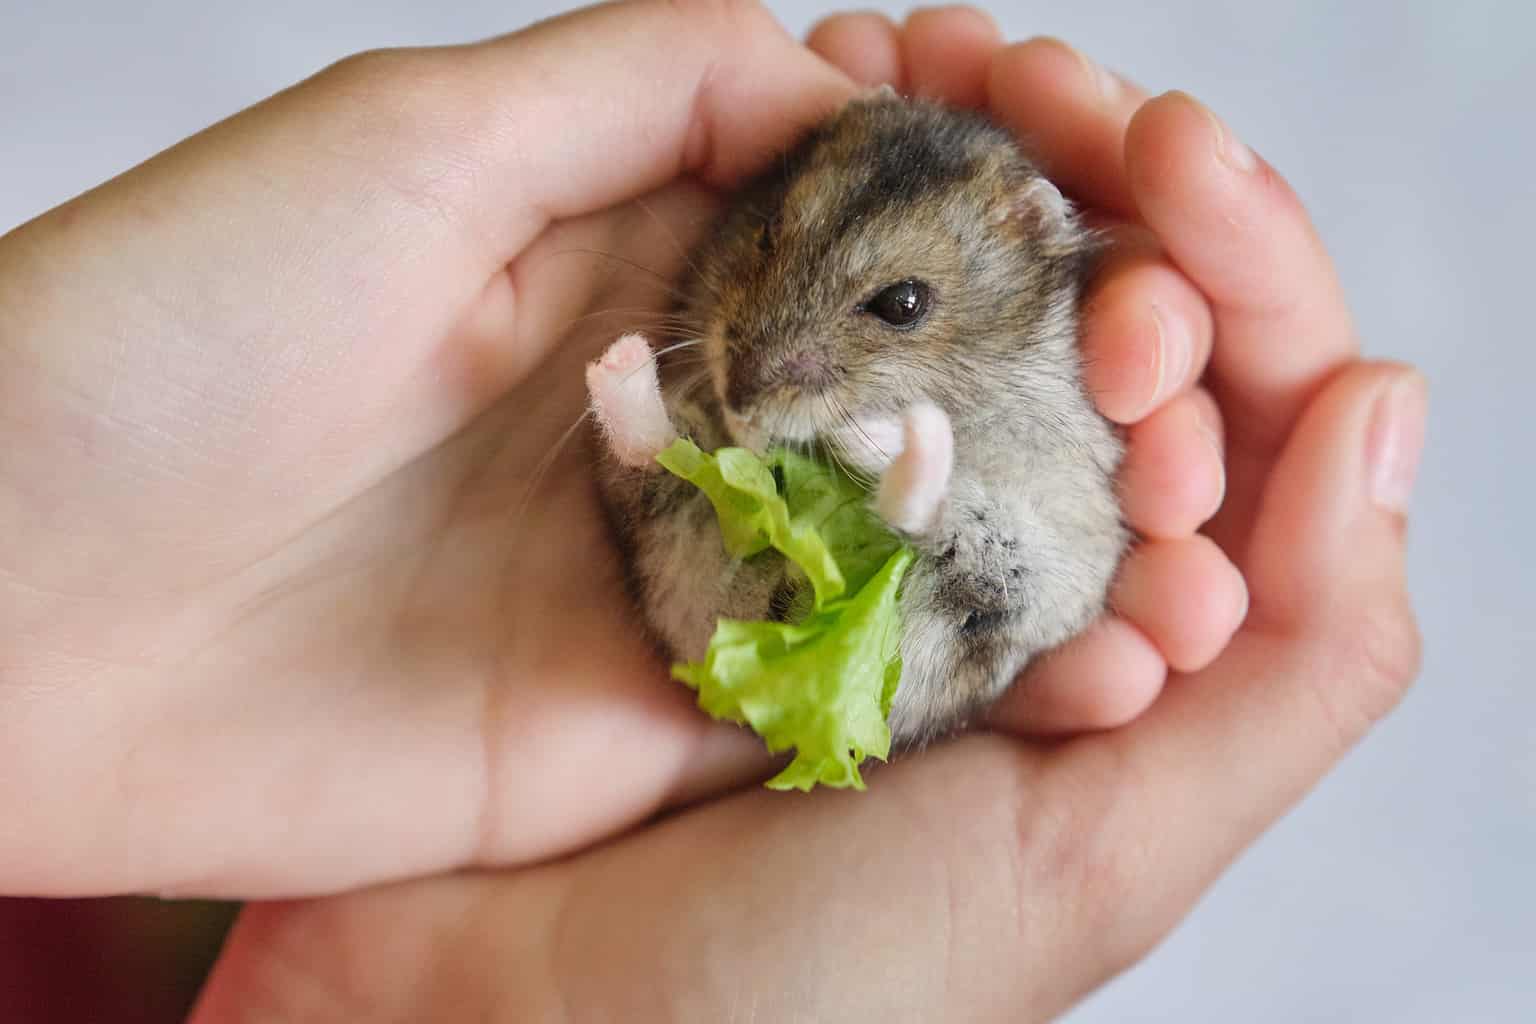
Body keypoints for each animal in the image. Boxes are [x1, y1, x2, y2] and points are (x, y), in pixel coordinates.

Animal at [585, 92, 1127, 746]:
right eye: (766, 230)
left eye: (903, 303)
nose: (737, 400)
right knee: (652, 455)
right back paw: (619, 365)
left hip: (1033, 574)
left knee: (942, 530)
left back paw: (888, 437)